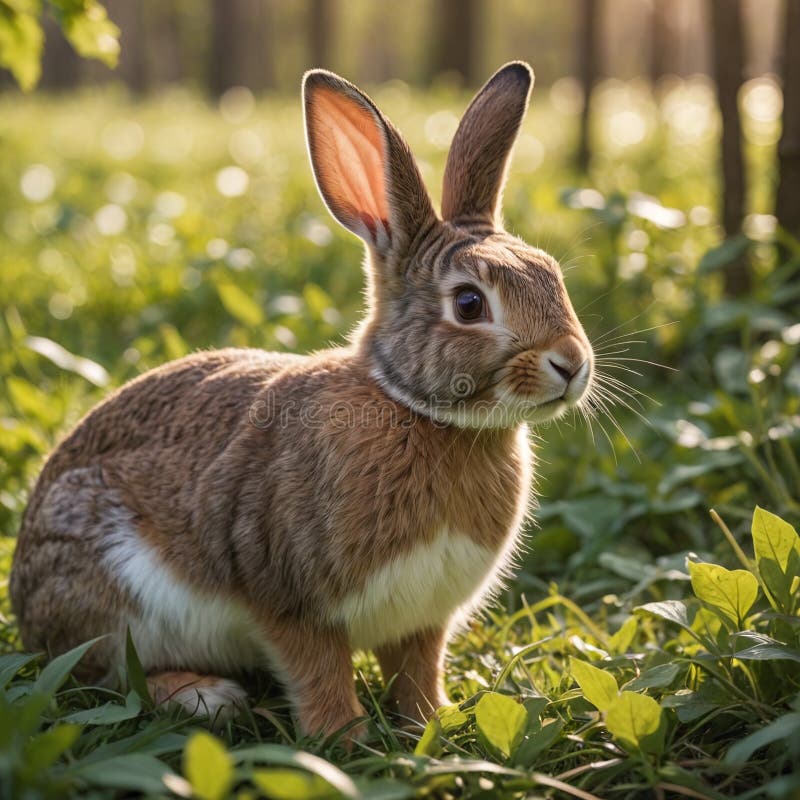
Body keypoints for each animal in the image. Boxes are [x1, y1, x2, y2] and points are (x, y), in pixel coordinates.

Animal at [10, 61, 594, 737]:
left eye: (553, 274)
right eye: (470, 304)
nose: (572, 364)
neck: (420, 412)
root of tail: (24, 601)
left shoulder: (423, 616)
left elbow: (417, 670)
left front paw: (434, 722)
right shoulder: (286, 596)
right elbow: (317, 670)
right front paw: (341, 736)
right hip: (116, 593)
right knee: (103, 674)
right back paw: (204, 695)